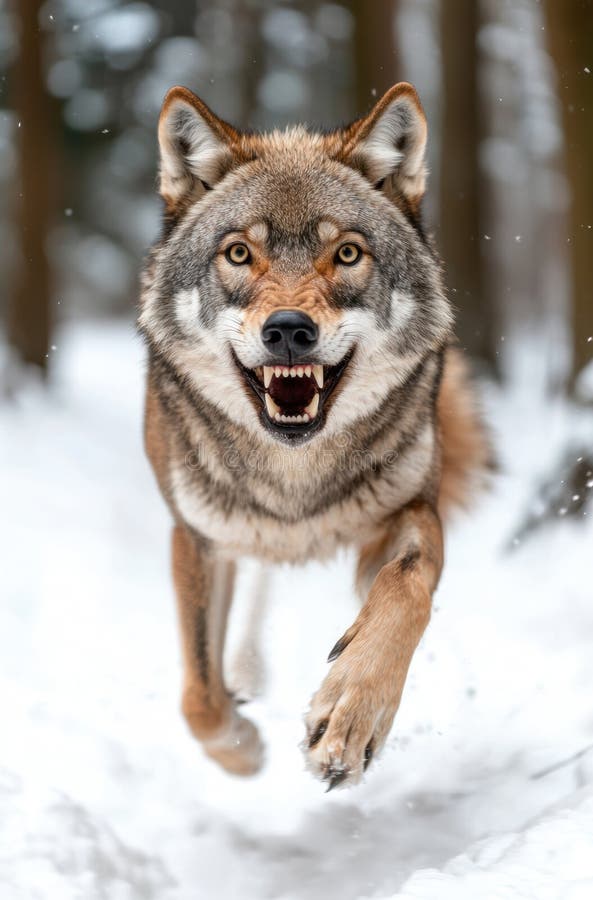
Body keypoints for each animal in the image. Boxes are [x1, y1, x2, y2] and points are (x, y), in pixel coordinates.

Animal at [138, 82, 489, 790]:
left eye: (347, 252)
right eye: (239, 252)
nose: (289, 330)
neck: (295, 483)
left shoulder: (410, 510)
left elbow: (405, 591)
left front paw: (351, 716)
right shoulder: (197, 538)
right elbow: (199, 697)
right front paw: (244, 749)